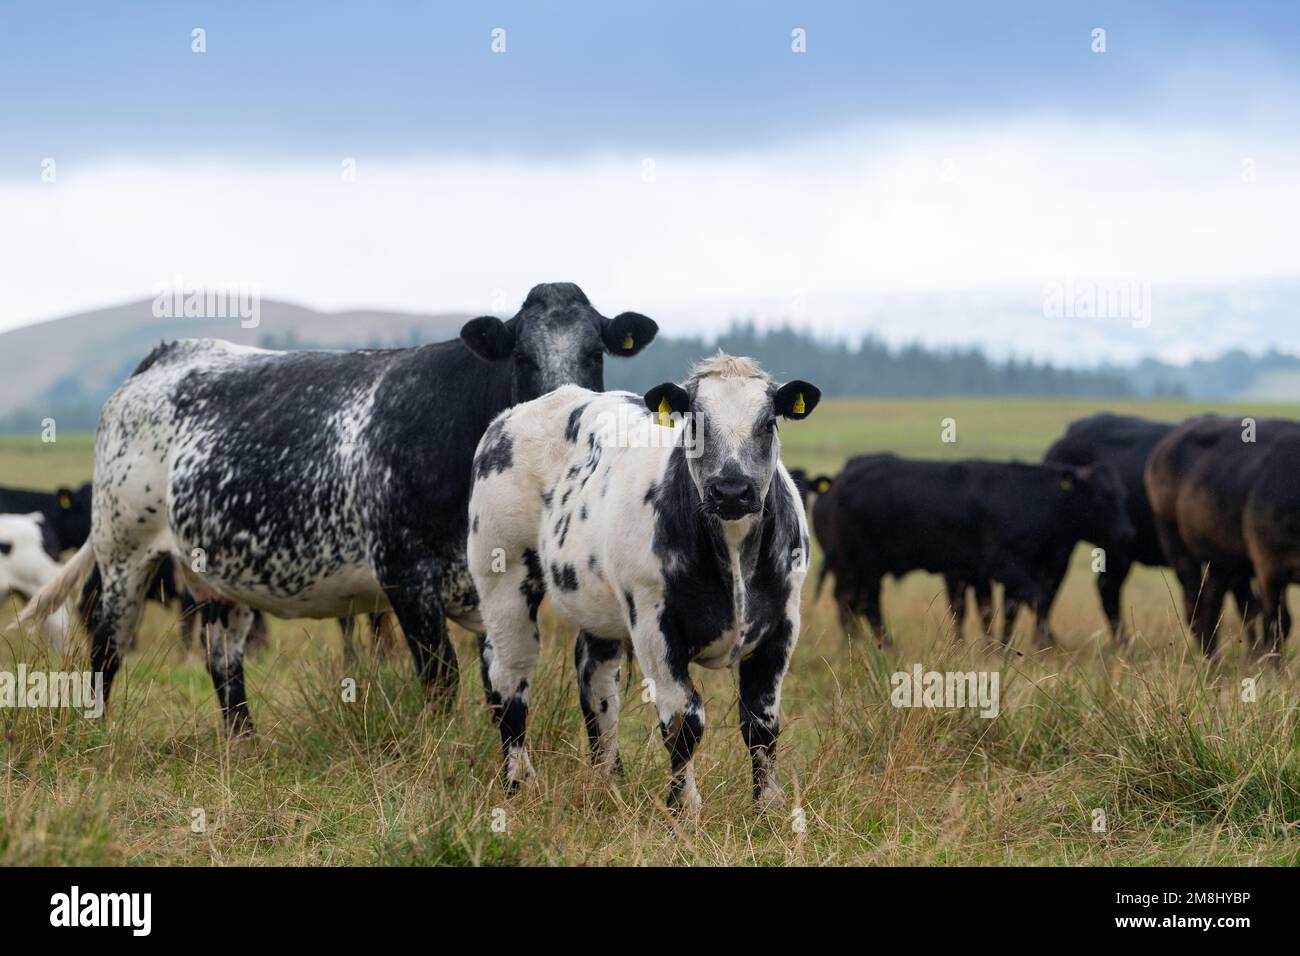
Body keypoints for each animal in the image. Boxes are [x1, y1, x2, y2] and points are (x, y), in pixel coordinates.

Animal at [20, 282, 658, 736]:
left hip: (217, 574)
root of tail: (170, 352)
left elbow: (497, 681)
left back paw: (244, 745)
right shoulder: (406, 575)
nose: (565, 412)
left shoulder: (491, 586)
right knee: (105, 646)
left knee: (223, 660)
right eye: (522, 356)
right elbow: (439, 679)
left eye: (596, 352)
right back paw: (97, 738)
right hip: (123, 549)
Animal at [466, 354, 820, 814]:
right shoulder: (655, 625)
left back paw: (608, 781)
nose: (731, 490)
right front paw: (684, 809)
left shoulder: (782, 625)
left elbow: (761, 723)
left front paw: (768, 807)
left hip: (595, 604)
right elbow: (684, 721)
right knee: (509, 678)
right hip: (502, 576)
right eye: (694, 422)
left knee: (597, 682)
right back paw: (518, 783)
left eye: (768, 422)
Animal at [812, 454, 1134, 648]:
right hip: (856, 564)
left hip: (866, 568)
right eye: (1103, 496)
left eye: (1122, 495)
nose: (1127, 532)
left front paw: (1001, 647)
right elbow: (1034, 601)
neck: (1033, 497)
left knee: (860, 603)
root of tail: (841, 479)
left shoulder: (991, 572)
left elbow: (1003, 609)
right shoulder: (1004, 565)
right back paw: (870, 646)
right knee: (858, 602)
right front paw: (1046, 644)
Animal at [1145, 414, 1300, 659]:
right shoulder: (1269, 567)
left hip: (1221, 560)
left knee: (1212, 603)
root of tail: (1162, 450)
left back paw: (1214, 658)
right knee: (1194, 605)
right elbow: (1276, 622)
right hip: (1175, 543)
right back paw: (1210, 657)